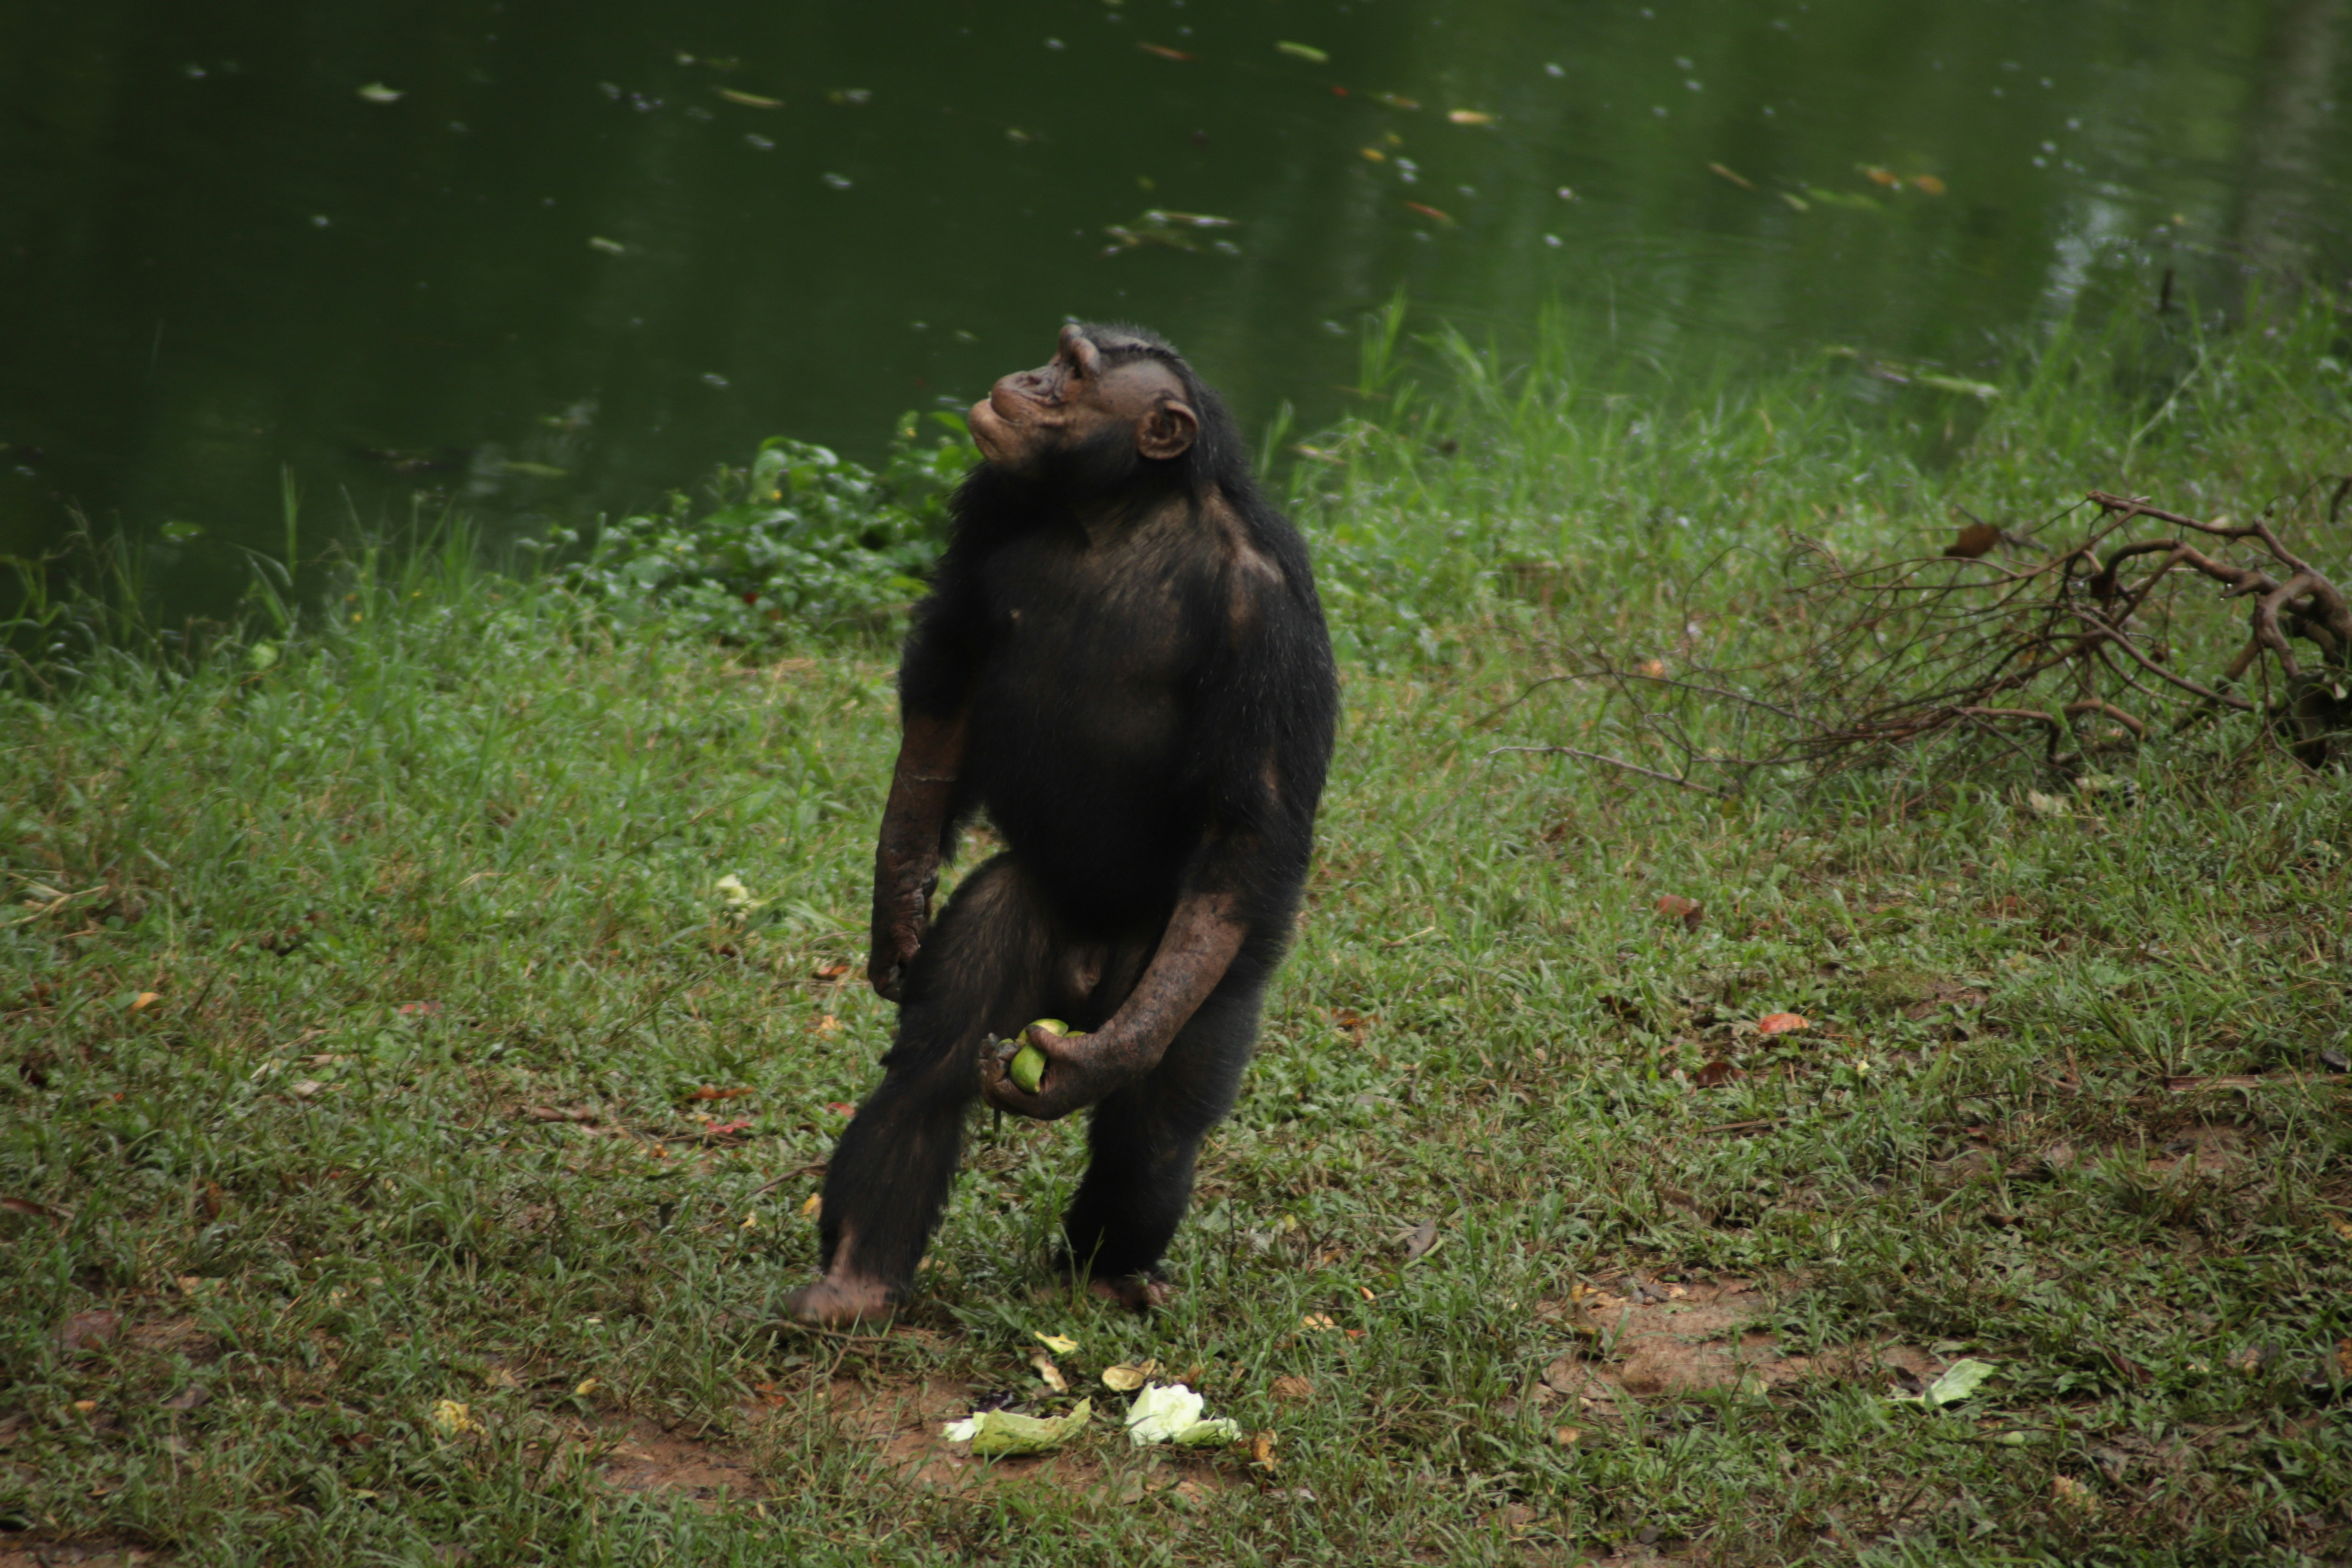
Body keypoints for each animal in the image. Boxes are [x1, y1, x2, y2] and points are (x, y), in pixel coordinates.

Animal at [782, 323, 1338, 1326]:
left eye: (1074, 375)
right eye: (1060, 354)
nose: (1027, 379)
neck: (1116, 514)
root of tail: (1084, 975)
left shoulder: (1270, 616)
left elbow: (1248, 820)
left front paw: (1099, 1067)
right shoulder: (991, 506)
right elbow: (952, 674)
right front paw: (897, 903)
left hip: (1180, 973)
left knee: (1154, 1127)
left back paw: (1111, 1264)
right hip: (1021, 915)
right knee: (934, 1059)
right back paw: (856, 1279)